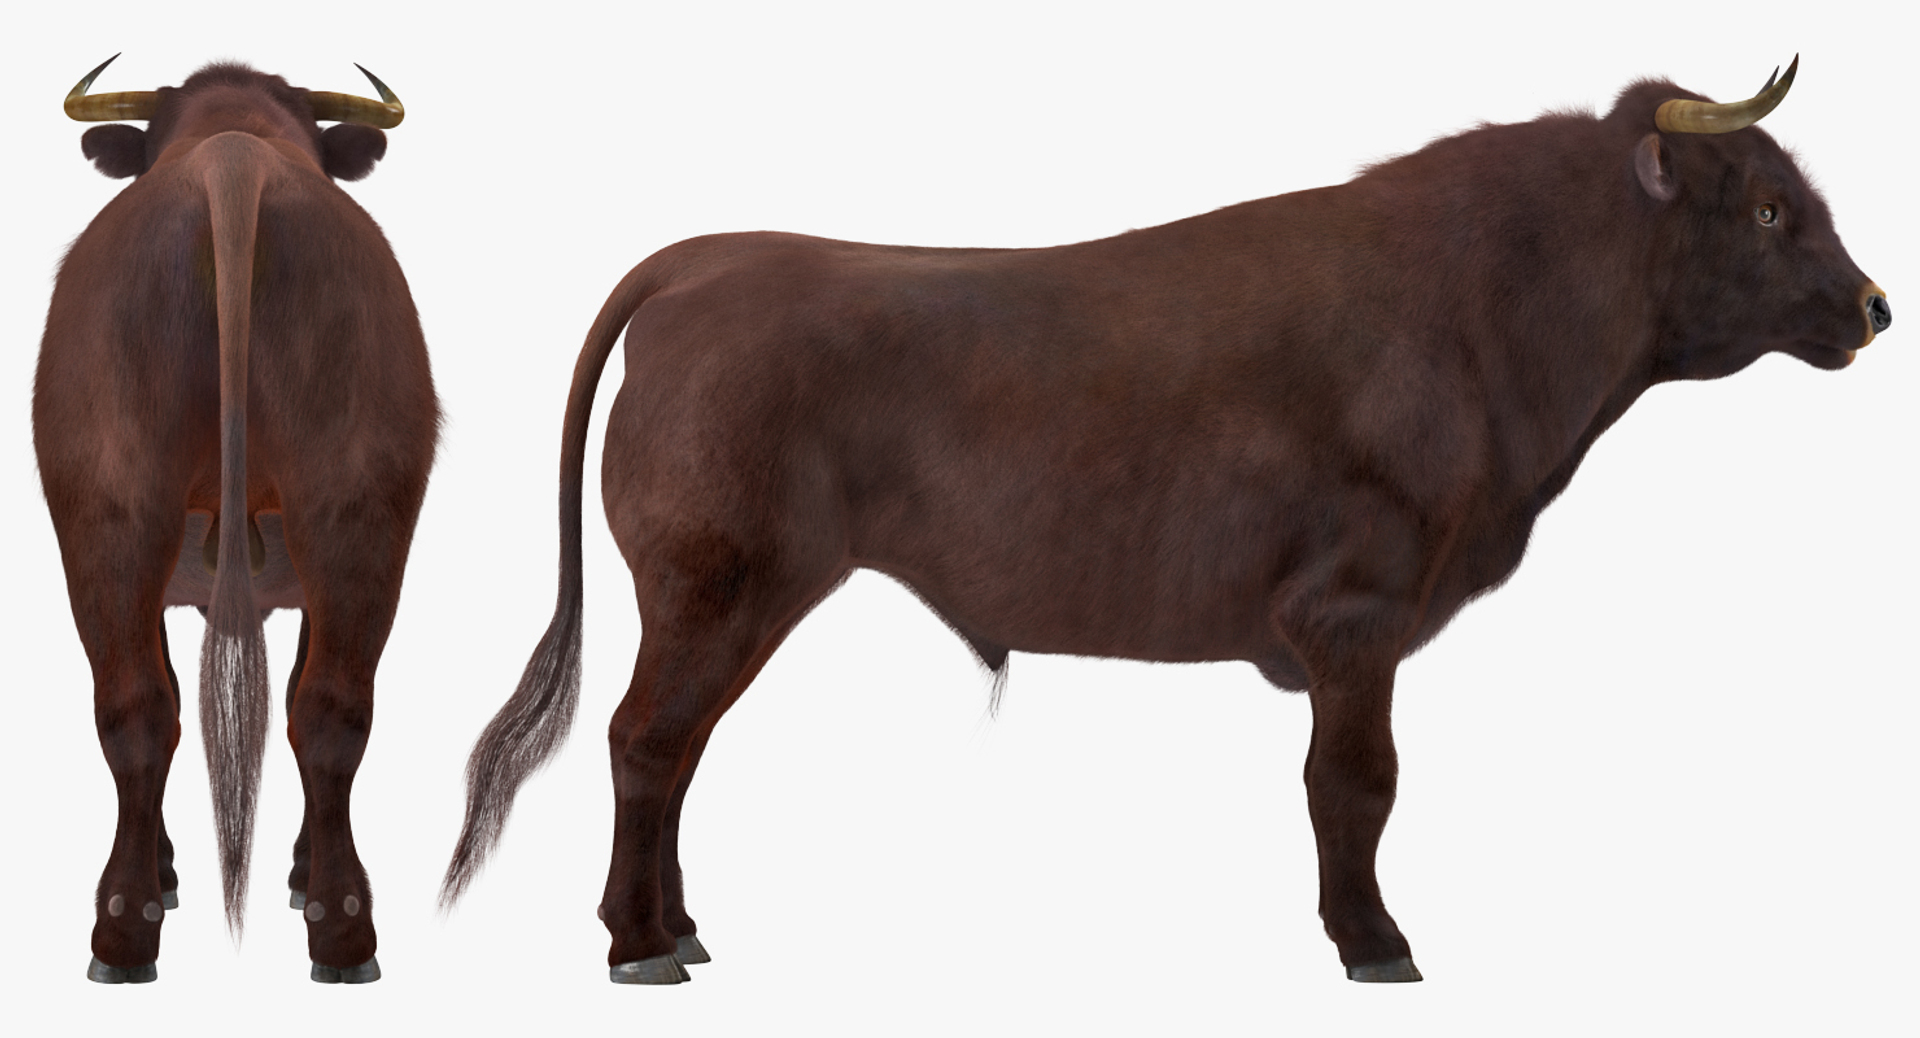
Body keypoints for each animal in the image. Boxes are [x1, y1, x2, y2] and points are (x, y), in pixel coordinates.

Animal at [36, 56, 438, 984]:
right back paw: (335, 929)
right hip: (346, 505)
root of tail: (232, 160)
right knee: (315, 709)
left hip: (118, 509)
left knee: (152, 708)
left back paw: (133, 928)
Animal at [440, 57, 1888, 984]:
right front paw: (1375, 942)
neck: (1492, 312)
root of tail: (714, 257)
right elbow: (1358, 782)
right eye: (1769, 206)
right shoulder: (1355, 616)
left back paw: (680, 928)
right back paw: (640, 946)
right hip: (714, 587)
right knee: (645, 741)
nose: (1877, 307)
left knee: (676, 752)